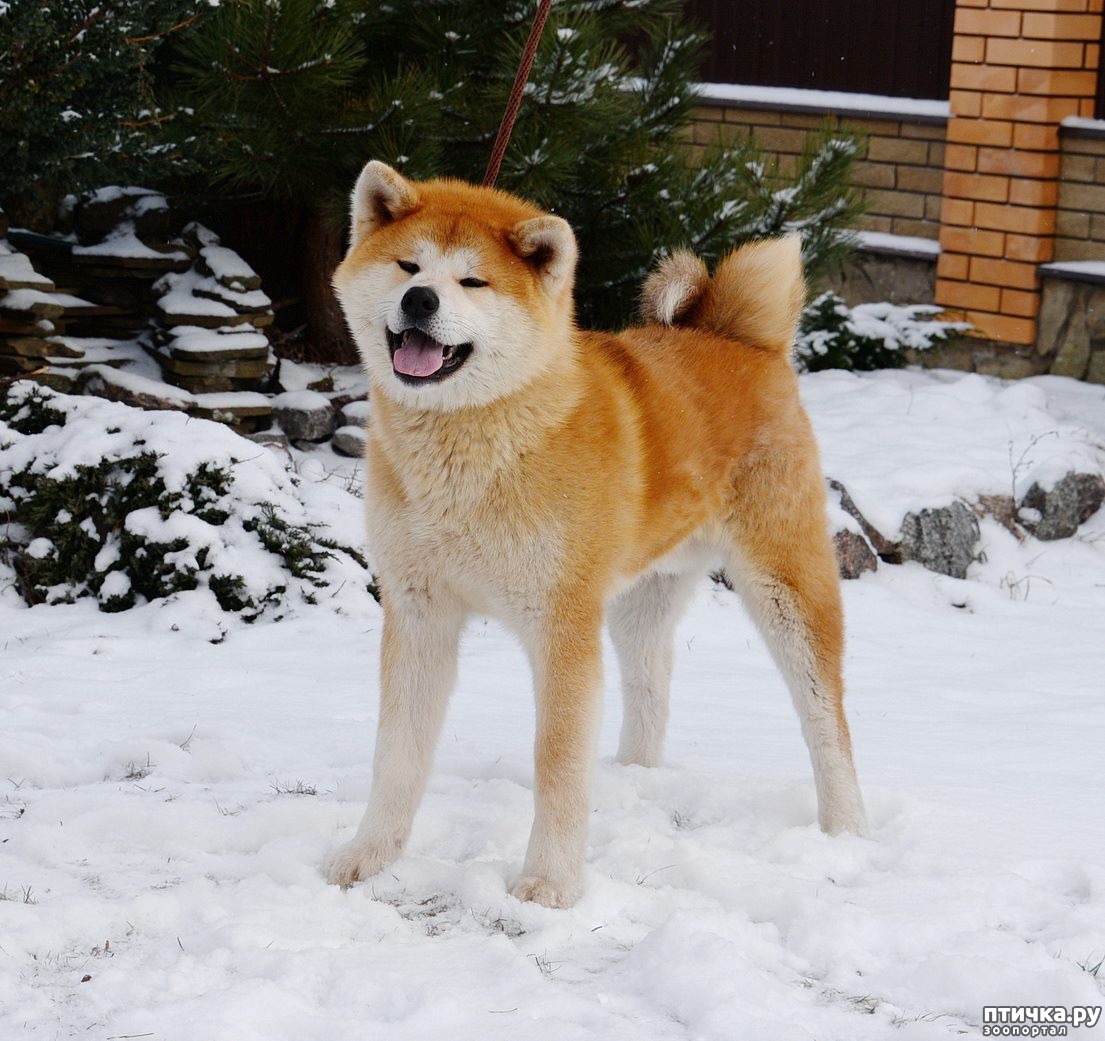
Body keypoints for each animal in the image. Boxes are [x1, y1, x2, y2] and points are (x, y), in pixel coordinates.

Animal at [322, 159, 866, 910]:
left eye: (472, 281)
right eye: (409, 265)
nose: (420, 301)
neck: (481, 449)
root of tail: (742, 342)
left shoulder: (563, 626)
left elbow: (556, 762)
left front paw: (549, 883)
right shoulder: (418, 612)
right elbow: (397, 756)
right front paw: (369, 857)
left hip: (786, 589)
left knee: (825, 718)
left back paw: (844, 828)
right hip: (643, 600)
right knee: (651, 688)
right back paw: (632, 781)